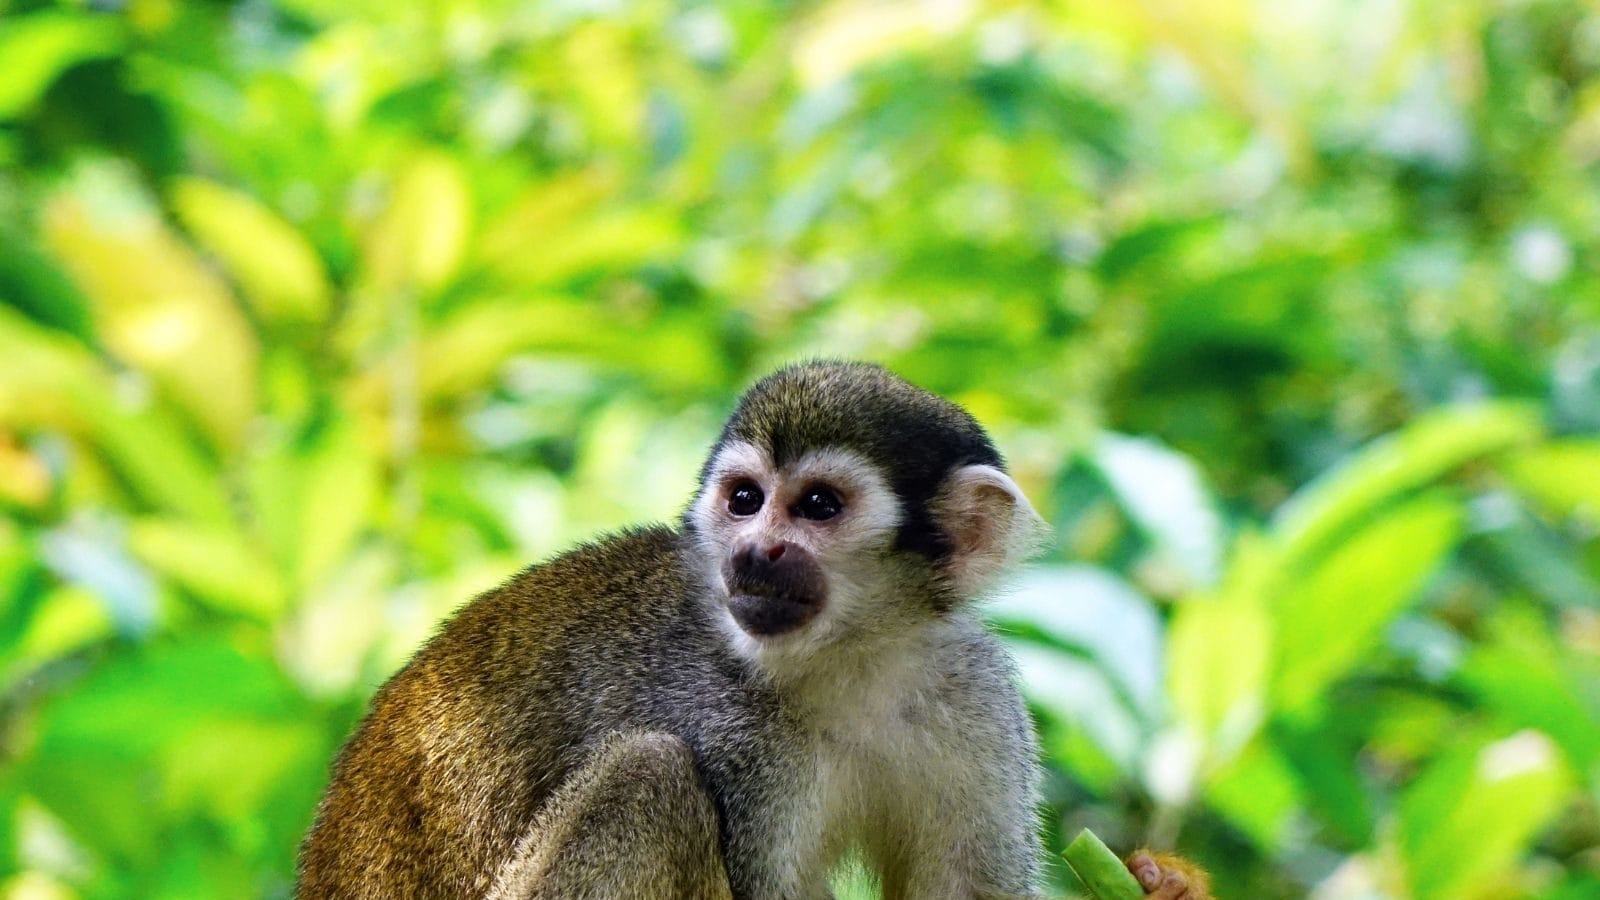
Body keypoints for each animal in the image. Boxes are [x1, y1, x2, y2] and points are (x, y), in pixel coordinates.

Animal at [297, 360, 1210, 899]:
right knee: (650, 774)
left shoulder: (974, 698)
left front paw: (1161, 884)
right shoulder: (729, 730)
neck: (852, 662)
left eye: (818, 506)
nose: (756, 552)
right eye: (745, 500)